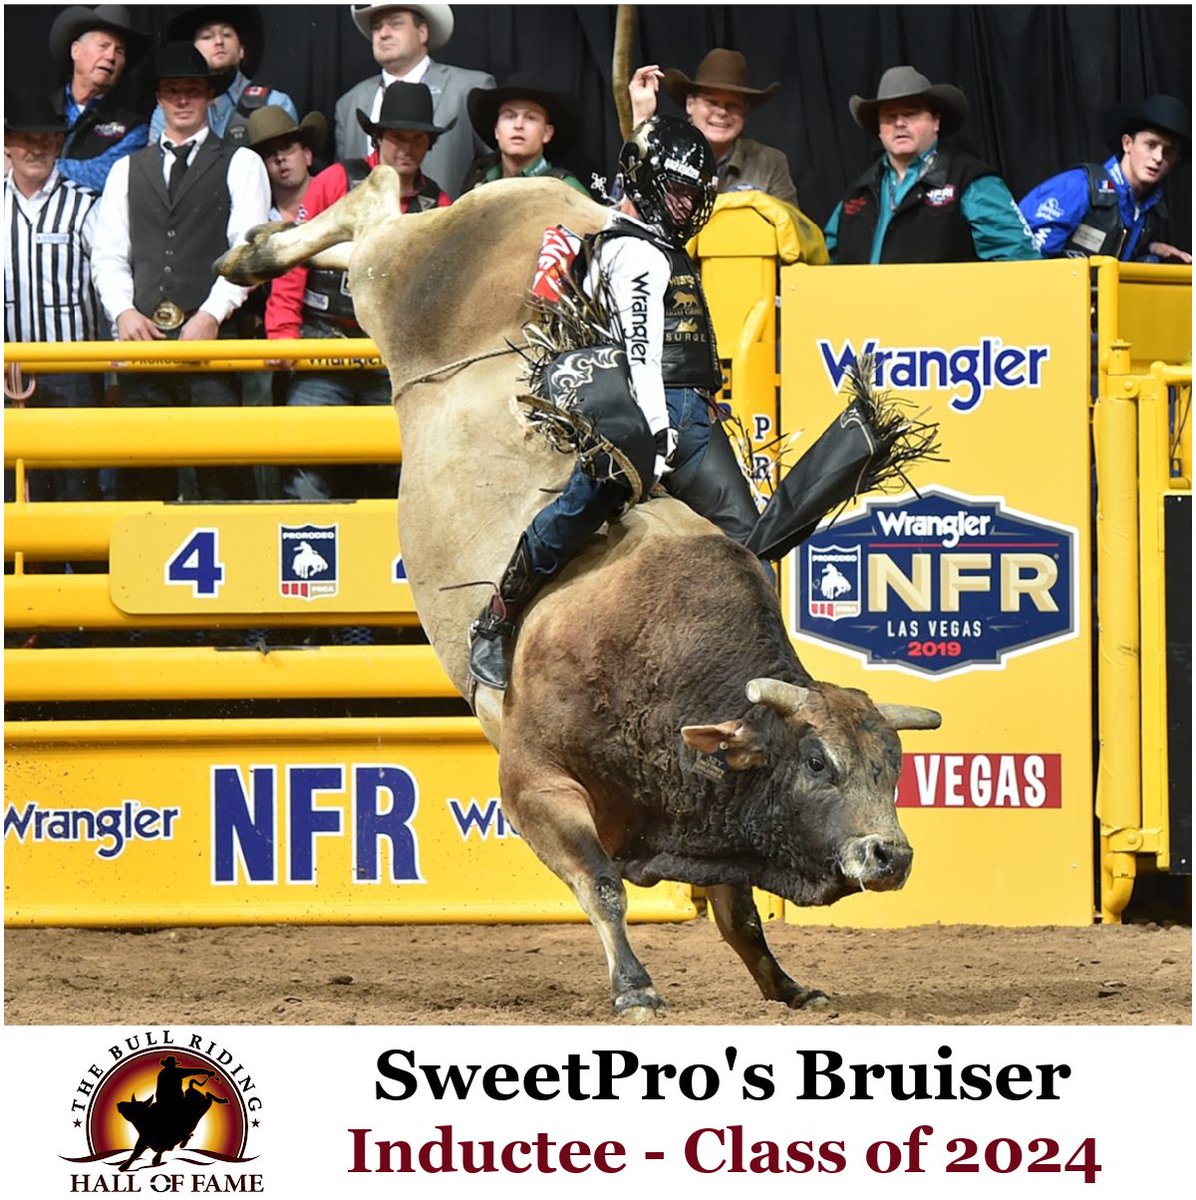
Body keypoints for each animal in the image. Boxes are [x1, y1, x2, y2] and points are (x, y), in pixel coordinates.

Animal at [217, 168, 941, 1019]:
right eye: (818, 763)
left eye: (891, 765)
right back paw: (255, 252)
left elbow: (741, 916)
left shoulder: (712, 818)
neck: (660, 663)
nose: (890, 852)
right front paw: (635, 987)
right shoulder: (531, 785)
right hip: (389, 275)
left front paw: (788, 987)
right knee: (375, 205)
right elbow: (602, 884)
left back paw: (256, 248)